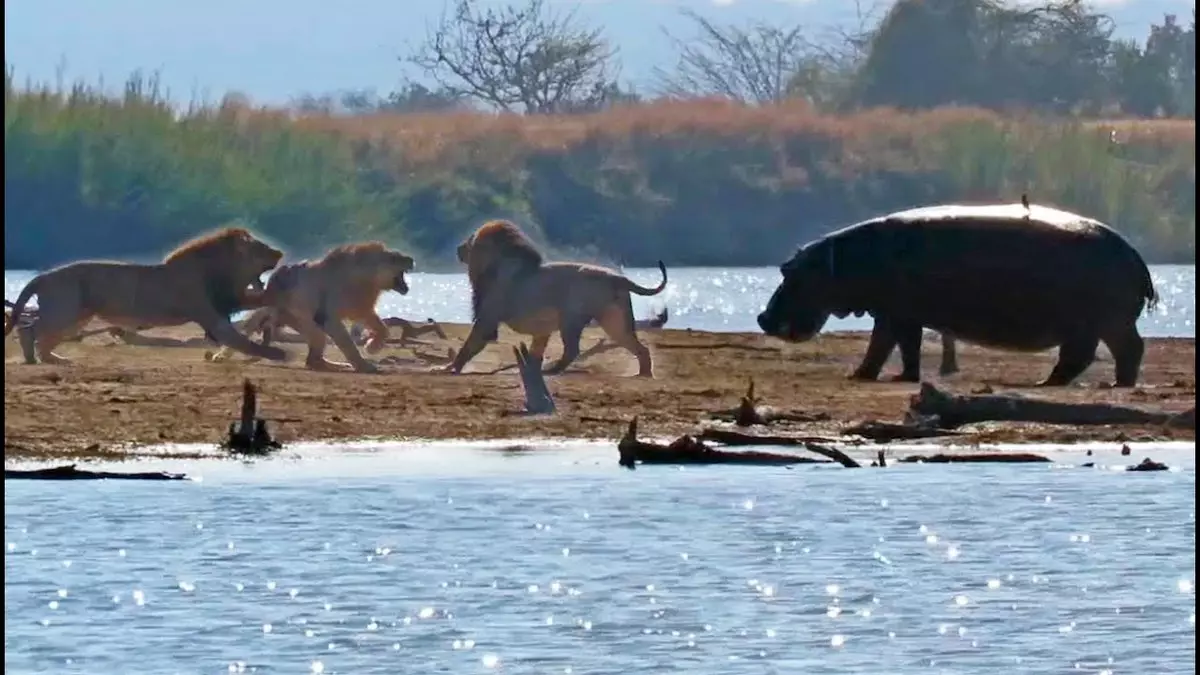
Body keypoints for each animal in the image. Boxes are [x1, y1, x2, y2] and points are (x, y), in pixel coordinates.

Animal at [4, 225, 285, 362]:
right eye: (262, 248)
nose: (280, 253)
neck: (222, 269)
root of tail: (43, 276)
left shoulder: (230, 298)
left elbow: (259, 300)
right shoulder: (208, 312)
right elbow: (238, 339)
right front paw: (279, 355)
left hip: (77, 317)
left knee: (44, 339)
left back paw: (56, 359)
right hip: (65, 311)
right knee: (29, 330)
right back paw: (32, 357)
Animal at [213, 239, 420, 369]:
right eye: (394, 256)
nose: (411, 259)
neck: (369, 281)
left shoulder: (362, 308)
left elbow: (383, 328)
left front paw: (372, 346)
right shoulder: (329, 316)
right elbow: (347, 343)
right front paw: (364, 365)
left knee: (312, 359)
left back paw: (338, 365)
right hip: (304, 320)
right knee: (312, 357)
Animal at [448, 220, 672, 379]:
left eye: (470, 240)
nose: (458, 248)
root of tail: (617, 277)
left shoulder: (487, 319)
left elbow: (469, 346)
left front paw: (449, 367)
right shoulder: (541, 331)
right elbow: (535, 352)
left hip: (571, 319)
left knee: (572, 350)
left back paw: (553, 369)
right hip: (615, 321)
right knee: (640, 348)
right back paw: (643, 373)